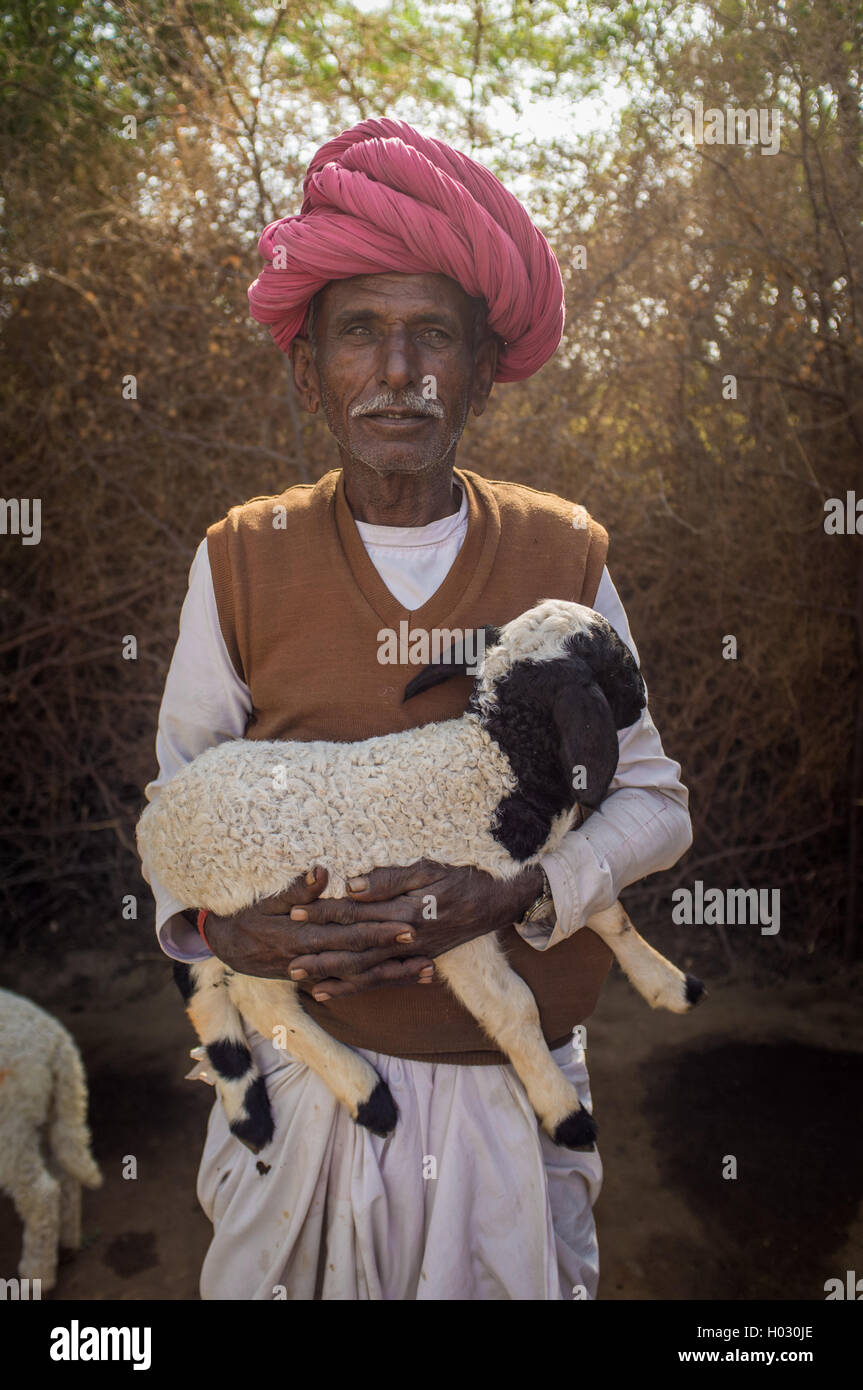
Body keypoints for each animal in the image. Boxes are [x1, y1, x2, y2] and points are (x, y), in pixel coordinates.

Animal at [0, 988, 102, 1291]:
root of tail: (57, 1041)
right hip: (47, 1110)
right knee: (64, 1177)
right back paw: (66, 1244)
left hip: (10, 1122)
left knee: (40, 1192)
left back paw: (36, 1275)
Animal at [137, 598, 703, 1156]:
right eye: (613, 660)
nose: (642, 700)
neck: (502, 763)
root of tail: (157, 821)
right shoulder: (450, 924)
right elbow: (514, 1010)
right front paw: (566, 1115)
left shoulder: (538, 865)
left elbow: (605, 910)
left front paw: (672, 986)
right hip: (254, 913)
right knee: (259, 1001)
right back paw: (367, 1097)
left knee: (200, 979)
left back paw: (248, 1110)